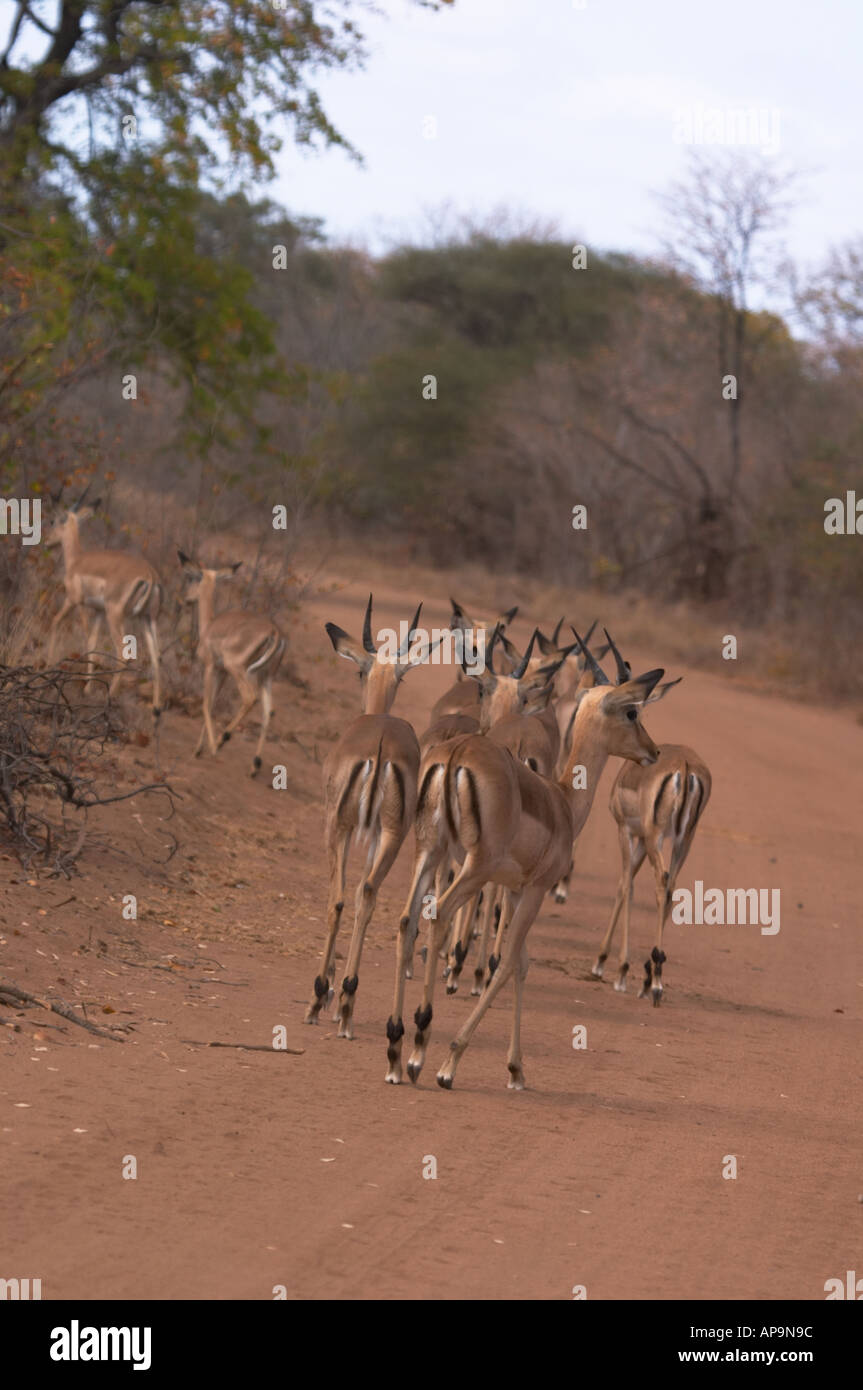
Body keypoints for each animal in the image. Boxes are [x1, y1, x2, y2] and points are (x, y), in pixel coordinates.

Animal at [45, 489, 163, 716]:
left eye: (53, 520)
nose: (47, 542)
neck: (76, 560)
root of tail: (150, 575)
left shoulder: (75, 601)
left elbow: (58, 623)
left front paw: (48, 665)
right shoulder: (98, 611)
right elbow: (92, 641)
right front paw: (88, 688)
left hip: (115, 614)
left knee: (124, 653)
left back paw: (109, 699)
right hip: (147, 618)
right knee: (156, 657)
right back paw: (156, 708)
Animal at [177, 552, 285, 776]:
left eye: (192, 578)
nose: (185, 599)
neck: (209, 625)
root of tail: (274, 632)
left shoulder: (210, 667)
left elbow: (205, 704)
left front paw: (209, 748)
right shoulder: (222, 672)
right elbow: (212, 704)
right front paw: (199, 749)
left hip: (239, 670)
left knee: (249, 698)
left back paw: (221, 741)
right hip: (266, 677)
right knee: (268, 711)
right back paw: (254, 765)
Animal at [304, 596, 433, 1039]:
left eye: (359, 670)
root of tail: (380, 745)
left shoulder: (340, 825)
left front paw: (325, 992)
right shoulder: (377, 834)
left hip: (338, 827)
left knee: (340, 899)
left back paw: (321, 998)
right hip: (393, 834)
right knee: (367, 894)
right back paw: (346, 1003)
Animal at [385, 632, 679, 1091]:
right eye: (632, 711)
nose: (652, 750)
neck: (562, 803)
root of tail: (456, 754)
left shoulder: (516, 889)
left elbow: (520, 964)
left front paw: (516, 1068)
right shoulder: (535, 890)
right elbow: (508, 962)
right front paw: (452, 1064)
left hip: (428, 851)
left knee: (407, 919)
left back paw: (396, 1052)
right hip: (473, 867)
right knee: (439, 916)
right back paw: (418, 1051)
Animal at [592, 745, 711, 1005]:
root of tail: (685, 766)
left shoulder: (626, 831)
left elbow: (627, 887)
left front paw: (611, 967)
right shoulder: (641, 842)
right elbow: (622, 886)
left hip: (655, 837)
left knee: (661, 883)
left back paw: (655, 983)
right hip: (683, 843)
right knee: (670, 889)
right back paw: (651, 979)